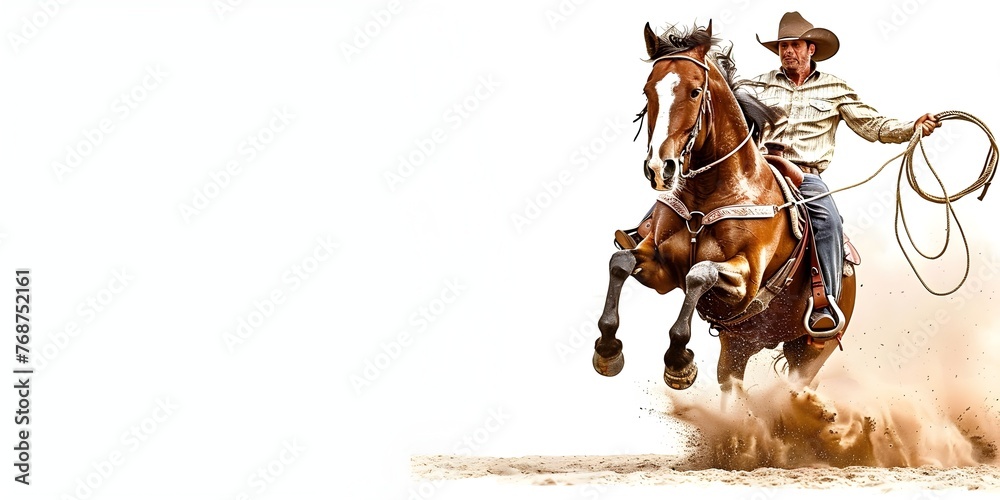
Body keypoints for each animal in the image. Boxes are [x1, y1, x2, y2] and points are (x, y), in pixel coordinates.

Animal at [593, 21, 857, 392]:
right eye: (647, 91)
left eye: (694, 91)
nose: (660, 167)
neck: (707, 194)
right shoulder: (660, 268)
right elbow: (620, 261)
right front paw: (607, 349)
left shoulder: (746, 281)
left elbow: (699, 273)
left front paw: (678, 361)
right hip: (738, 347)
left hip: (809, 355)